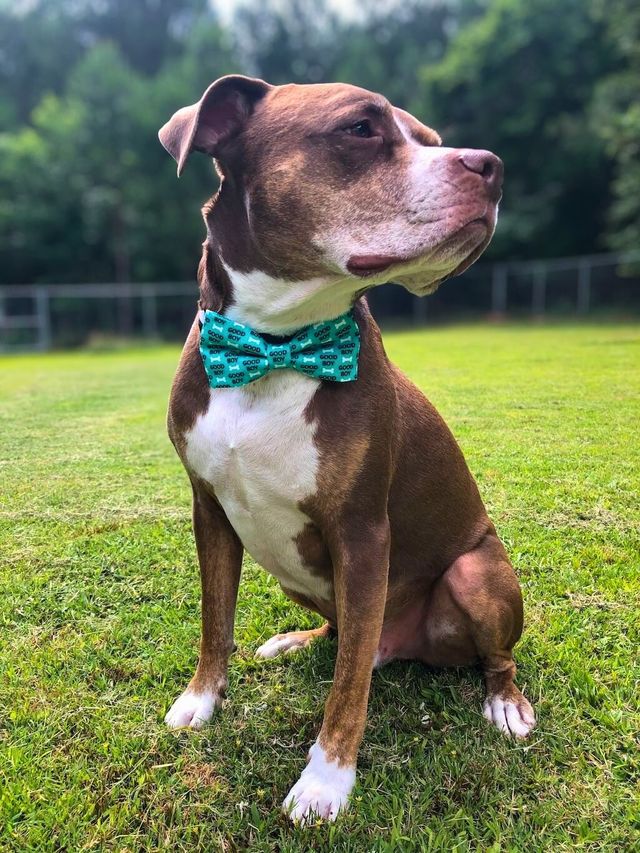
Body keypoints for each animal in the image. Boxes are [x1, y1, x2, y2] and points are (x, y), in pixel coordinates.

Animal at [158, 75, 535, 824]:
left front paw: (326, 781)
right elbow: (216, 619)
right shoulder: (209, 510)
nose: (492, 167)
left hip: (474, 573)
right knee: (343, 638)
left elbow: (348, 685)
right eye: (361, 128)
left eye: (428, 138)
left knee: (474, 656)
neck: (275, 344)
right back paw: (293, 640)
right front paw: (201, 700)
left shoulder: (361, 534)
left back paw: (505, 704)